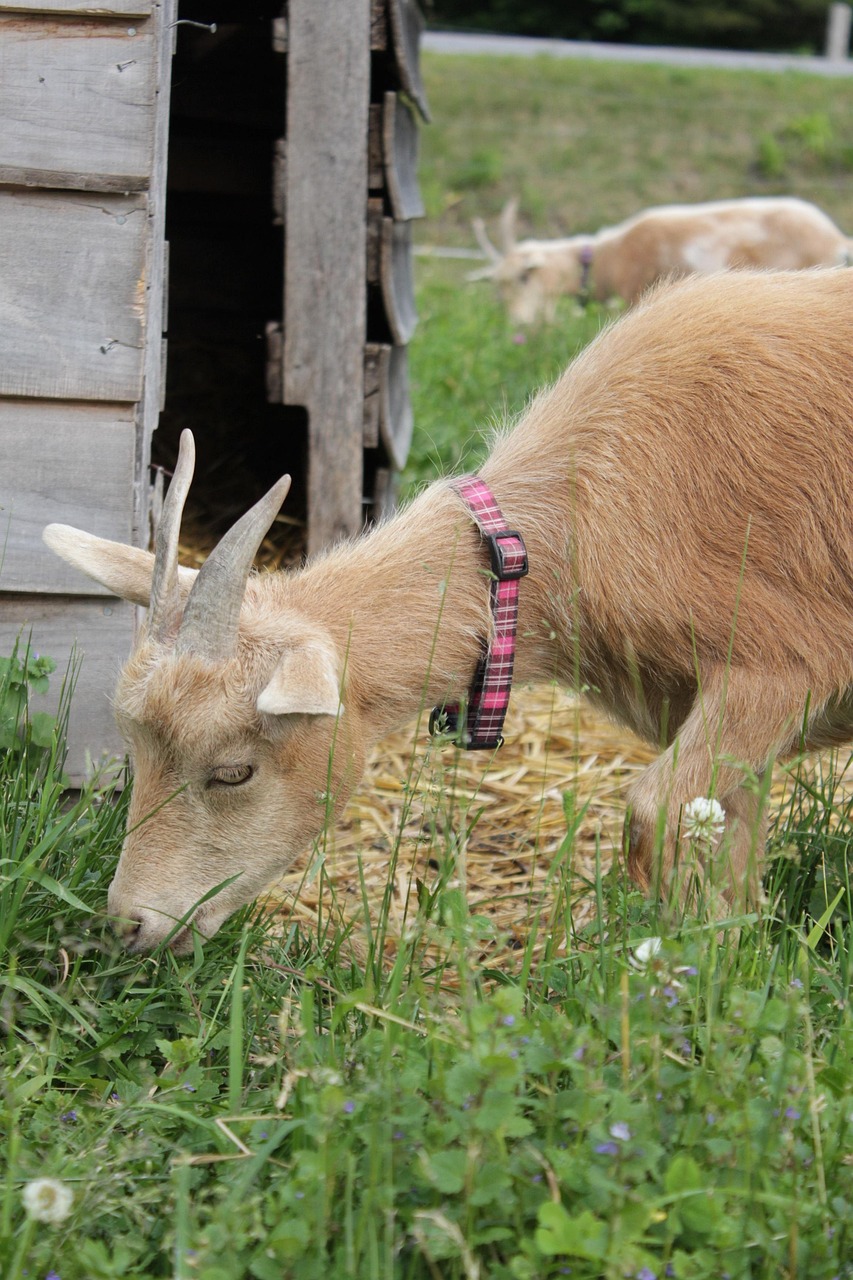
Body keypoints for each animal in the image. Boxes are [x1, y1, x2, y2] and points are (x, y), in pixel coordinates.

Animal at [44, 268, 853, 952]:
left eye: (234, 772)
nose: (128, 925)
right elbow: (731, 844)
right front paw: (740, 956)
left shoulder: (777, 667)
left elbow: (657, 812)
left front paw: (708, 981)